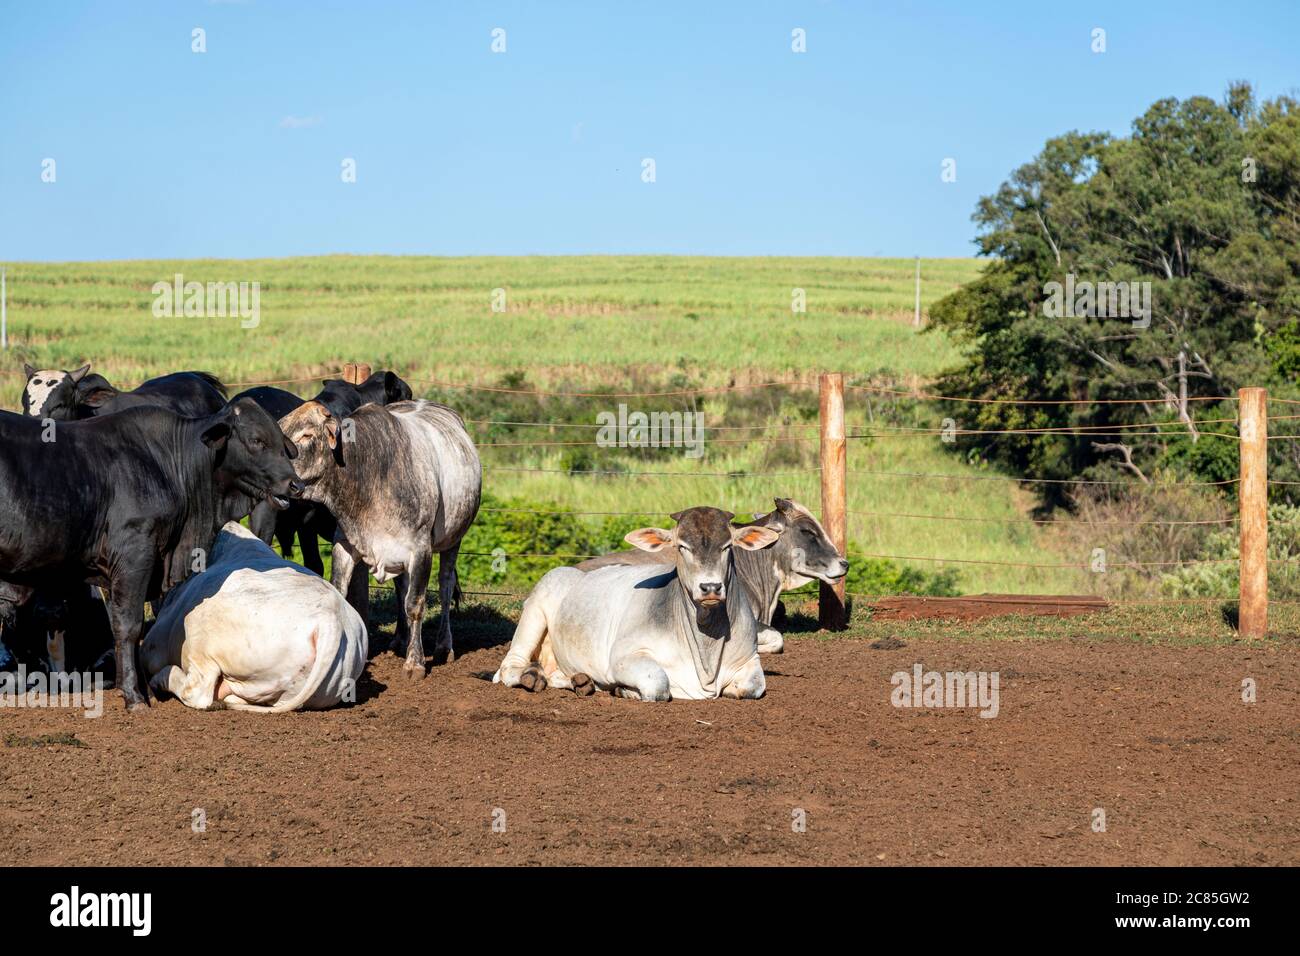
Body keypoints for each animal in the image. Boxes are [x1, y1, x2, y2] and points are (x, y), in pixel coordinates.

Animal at [0, 399, 303, 709]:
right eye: (256, 440)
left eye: (281, 443)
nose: (296, 484)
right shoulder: (134, 554)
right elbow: (129, 626)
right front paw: (134, 696)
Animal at [278, 399, 481, 677]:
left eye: (307, 435)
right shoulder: (345, 544)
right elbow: (343, 592)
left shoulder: (421, 550)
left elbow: (415, 604)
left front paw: (415, 662)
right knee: (402, 589)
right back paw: (401, 638)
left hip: (454, 538)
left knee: (445, 585)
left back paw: (443, 645)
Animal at [494, 506, 778, 701]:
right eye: (682, 546)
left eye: (727, 546)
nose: (710, 587)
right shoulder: (623, 657)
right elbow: (658, 684)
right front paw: (623, 690)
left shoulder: (749, 658)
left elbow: (753, 687)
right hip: (534, 612)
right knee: (508, 667)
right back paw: (531, 676)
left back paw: (580, 682)